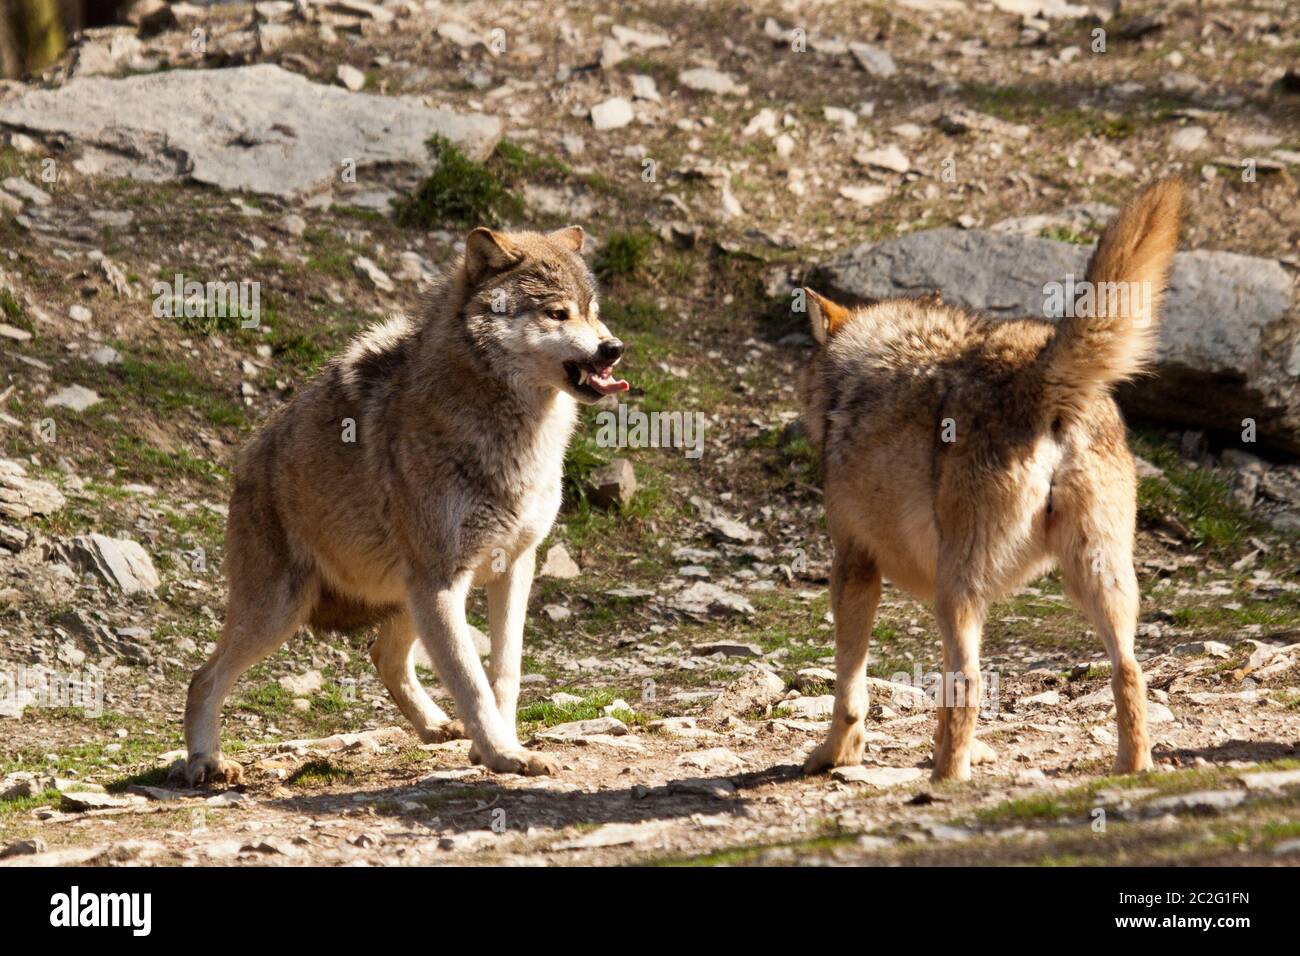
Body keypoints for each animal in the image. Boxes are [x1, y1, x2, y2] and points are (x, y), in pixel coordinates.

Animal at [183, 226, 628, 785]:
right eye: (557, 313)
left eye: (593, 310)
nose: (613, 348)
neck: (515, 436)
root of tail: (247, 452)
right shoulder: (441, 580)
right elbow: (472, 682)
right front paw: (506, 755)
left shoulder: (513, 568)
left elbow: (504, 672)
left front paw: (498, 747)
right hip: (285, 612)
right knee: (203, 677)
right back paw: (205, 762)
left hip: (404, 597)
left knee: (383, 657)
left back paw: (436, 727)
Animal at [798, 179, 1184, 781]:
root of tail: (1039, 377)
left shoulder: (854, 564)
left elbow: (850, 688)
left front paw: (836, 754)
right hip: (1097, 578)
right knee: (1129, 670)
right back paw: (1131, 768)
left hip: (958, 589)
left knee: (972, 681)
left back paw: (945, 780)